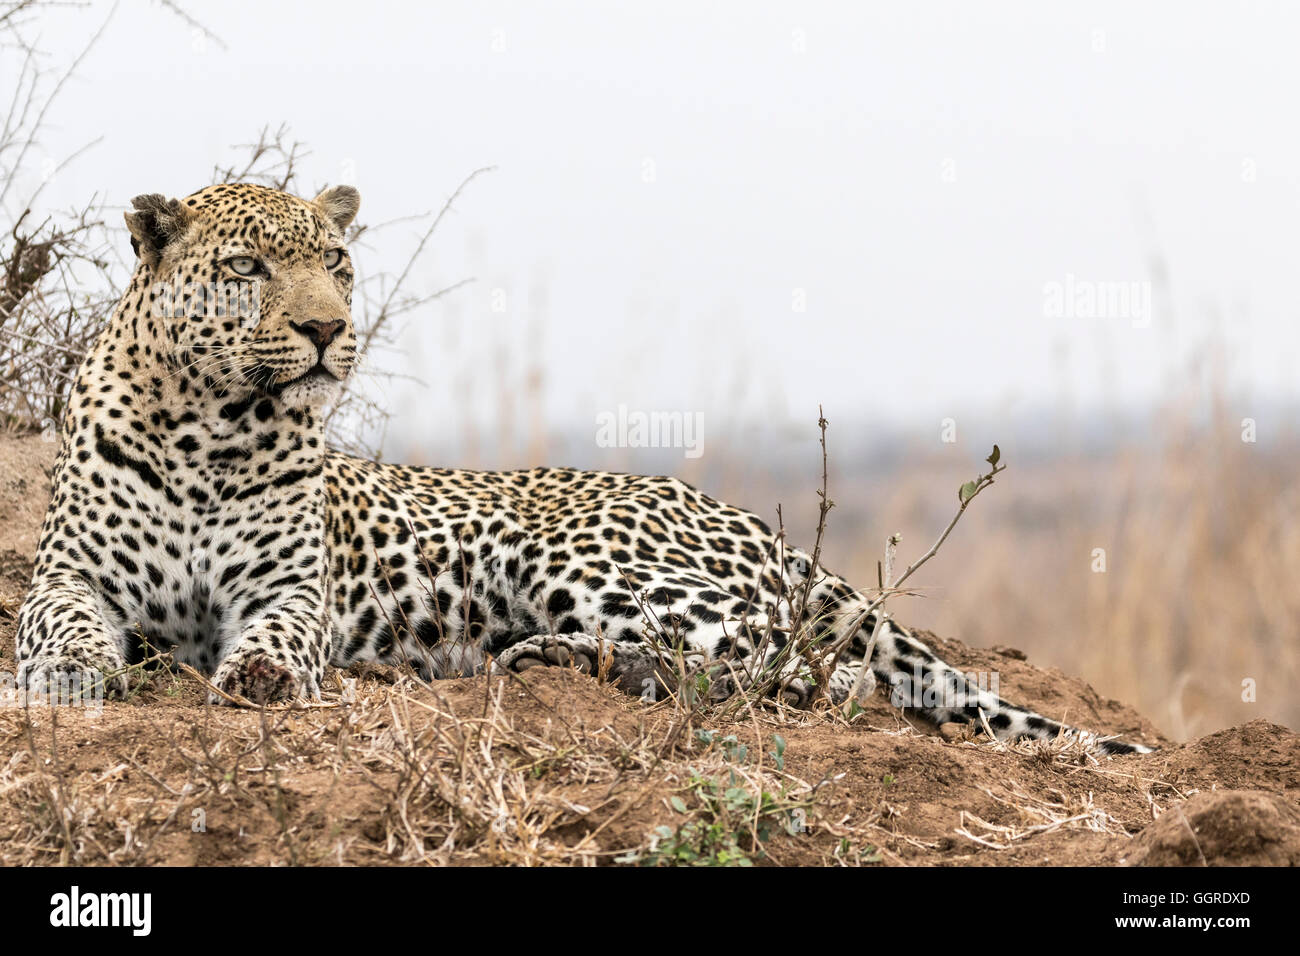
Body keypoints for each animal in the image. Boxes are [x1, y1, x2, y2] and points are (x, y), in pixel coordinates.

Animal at [14, 181, 1152, 756]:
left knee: (801, 666)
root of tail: (743, 515)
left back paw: (555, 661)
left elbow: (280, 633)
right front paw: (70, 673)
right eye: (247, 268)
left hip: (572, 556)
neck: (209, 429)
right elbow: (60, 624)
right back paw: (551, 661)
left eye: (335, 264)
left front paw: (257, 673)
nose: (328, 330)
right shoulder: (66, 576)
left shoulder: (293, 589)